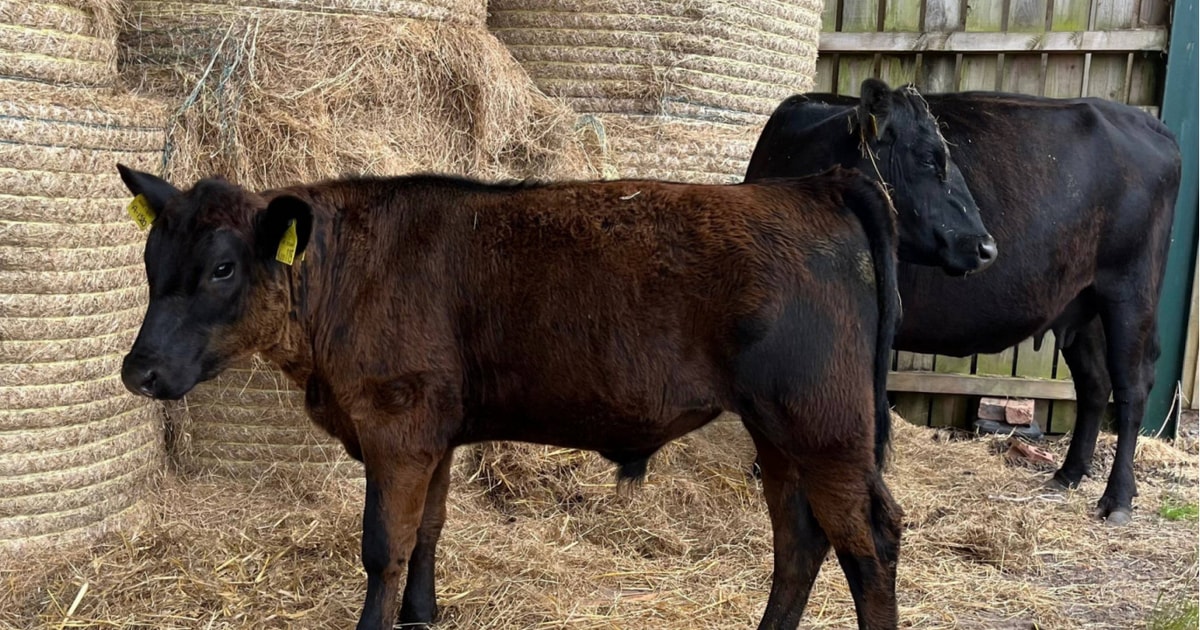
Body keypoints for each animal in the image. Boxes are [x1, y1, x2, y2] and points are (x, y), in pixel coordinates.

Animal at [116, 164, 910, 629]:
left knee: (869, 539)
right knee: (800, 539)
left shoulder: (397, 423)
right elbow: (429, 531)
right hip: (779, 433)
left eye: (223, 267)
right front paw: (424, 617)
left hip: (825, 426)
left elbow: (384, 544)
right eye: (153, 257)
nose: (139, 372)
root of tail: (811, 189)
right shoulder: (434, 431)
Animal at [745, 83, 1183, 526]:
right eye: (927, 158)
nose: (986, 246)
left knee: (1132, 387)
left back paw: (1117, 498)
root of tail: (1145, 121)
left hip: (1129, 292)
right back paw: (1068, 475)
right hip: (1081, 305)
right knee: (1094, 383)